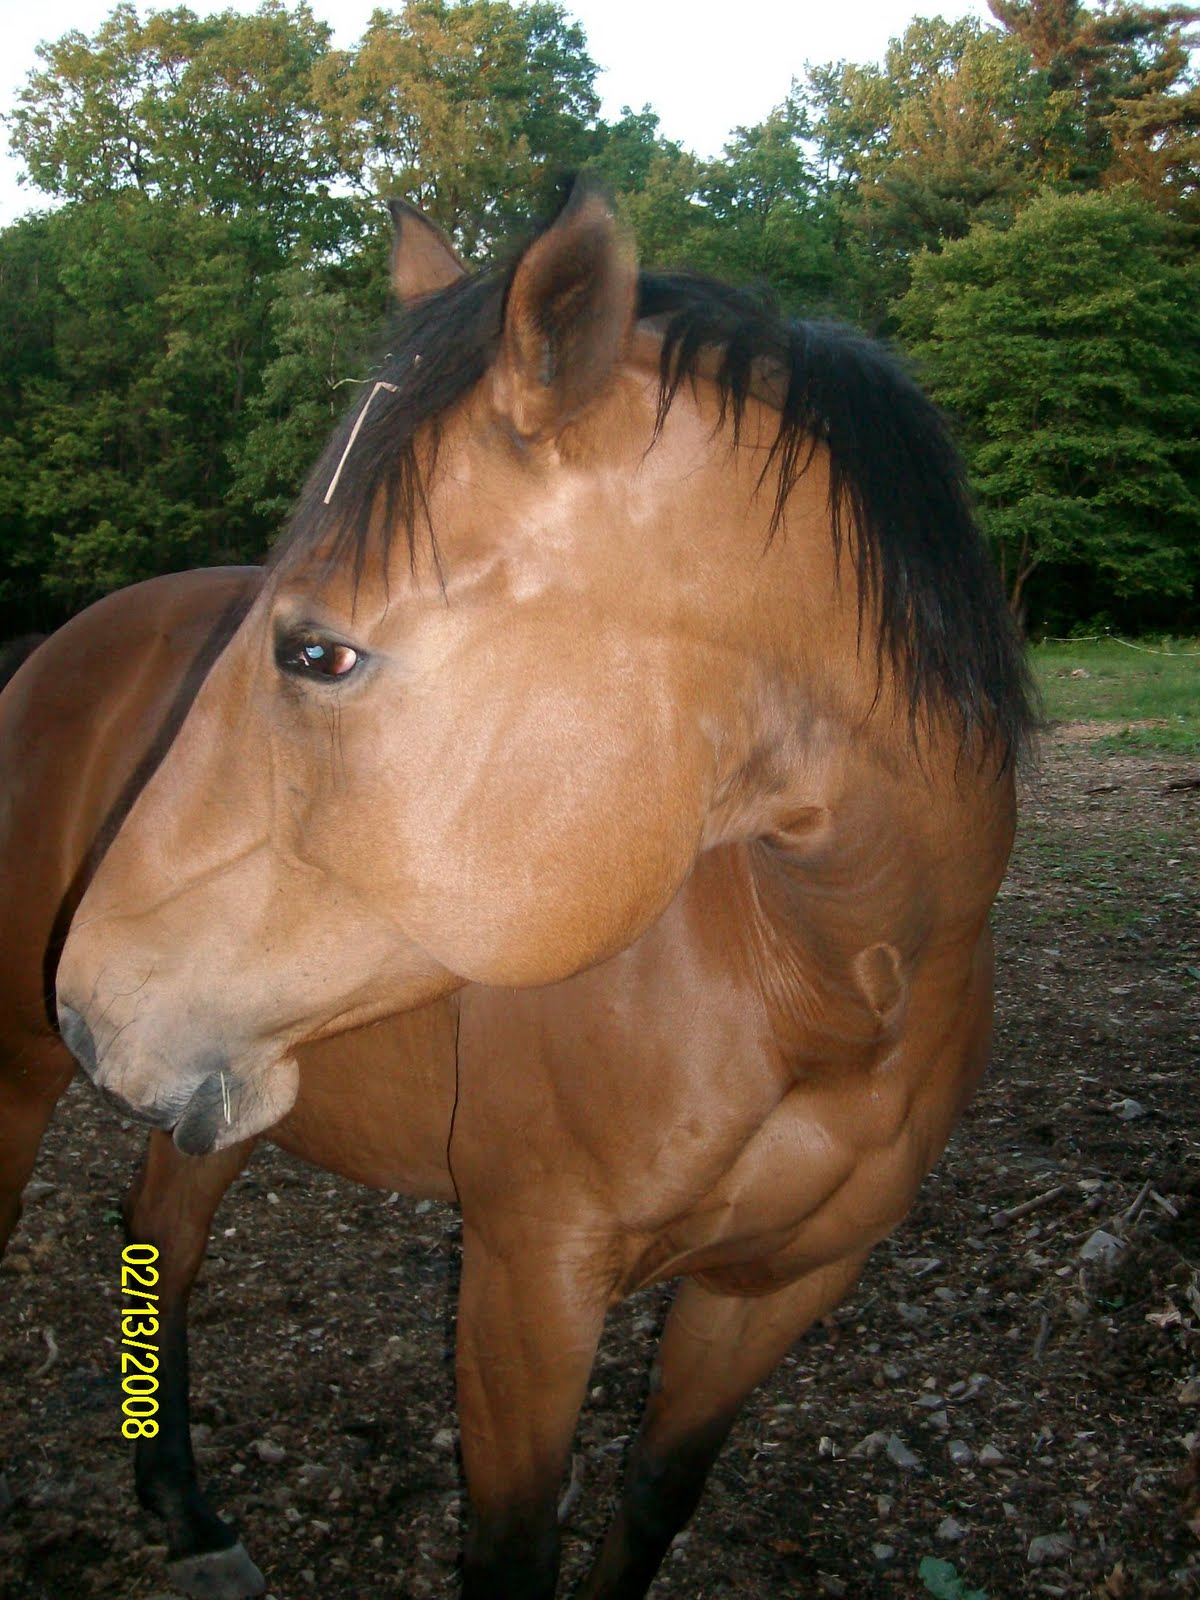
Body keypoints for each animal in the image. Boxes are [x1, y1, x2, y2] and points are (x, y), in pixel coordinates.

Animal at [34, 178, 1029, 1599]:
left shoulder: (778, 1286)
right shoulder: (527, 1280)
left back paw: (185, 1508)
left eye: (317, 653)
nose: (88, 1000)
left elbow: (659, 1489)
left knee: (162, 1235)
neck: (821, 983)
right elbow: (511, 1547)